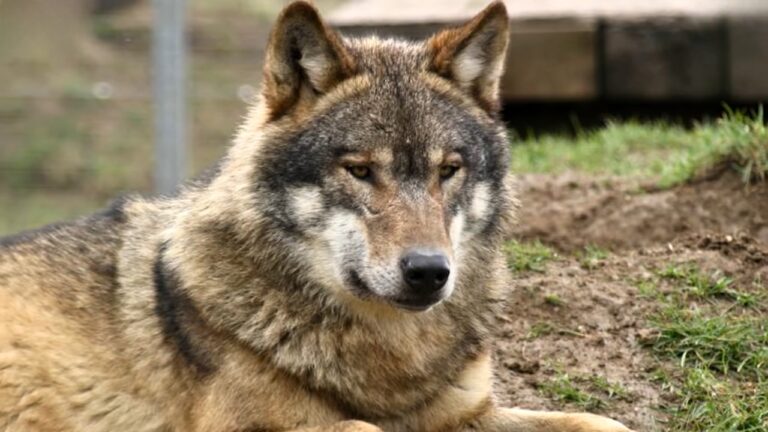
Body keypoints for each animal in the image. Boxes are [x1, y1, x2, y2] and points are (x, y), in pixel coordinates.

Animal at [0, 2, 633, 431]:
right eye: (360, 170)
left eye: (448, 170)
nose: (429, 271)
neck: (388, 354)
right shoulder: (244, 424)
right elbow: (364, 428)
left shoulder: (468, 412)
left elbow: (603, 421)